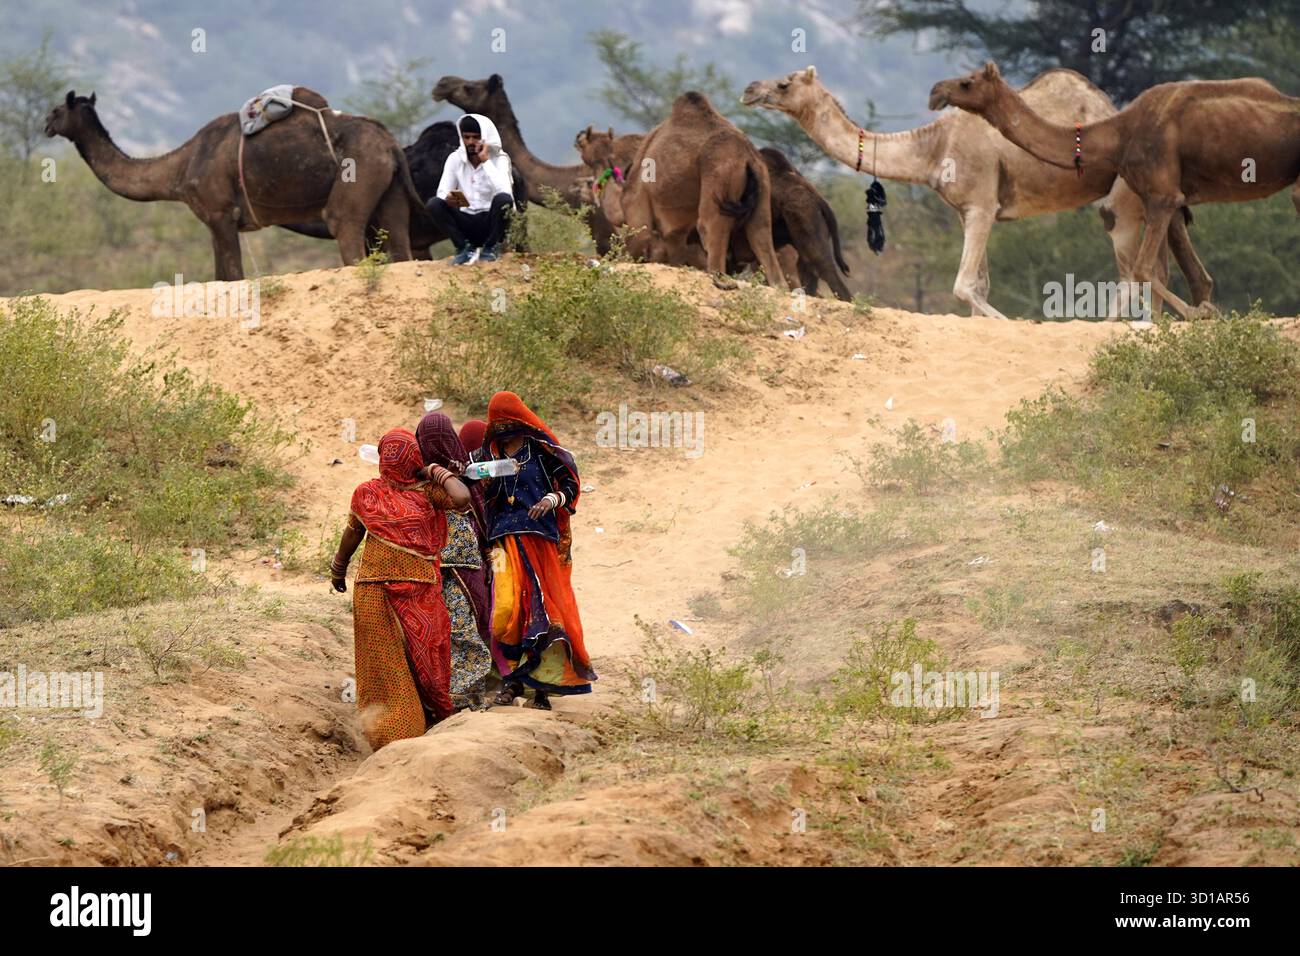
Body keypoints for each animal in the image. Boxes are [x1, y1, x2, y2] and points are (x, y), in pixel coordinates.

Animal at [45, 88, 423, 281]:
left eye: (57, 110)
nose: (45, 123)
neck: (180, 168)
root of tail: (390, 143)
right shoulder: (214, 221)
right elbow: (219, 276)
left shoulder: (220, 212)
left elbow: (233, 276)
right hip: (389, 188)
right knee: (400, 243)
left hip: (358, 173)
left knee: (343, 225)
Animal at [742, 66, 1213, 319]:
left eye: (785, 84)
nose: (750, 89)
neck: (931, 148)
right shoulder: (966, 212)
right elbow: (979, 286)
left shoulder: (982, 205)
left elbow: (964, 286)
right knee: (1162, 268)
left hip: (1121, 200)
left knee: (1134, 274)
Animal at [929, 62, 1300, 319]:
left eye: (967, 81)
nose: (936, 91)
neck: (1117, 136)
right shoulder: (1160, 198)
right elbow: (1160, 272)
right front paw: (1199, 313)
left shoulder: (1162, 195)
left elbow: (1143, 270)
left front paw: (1202, 313)